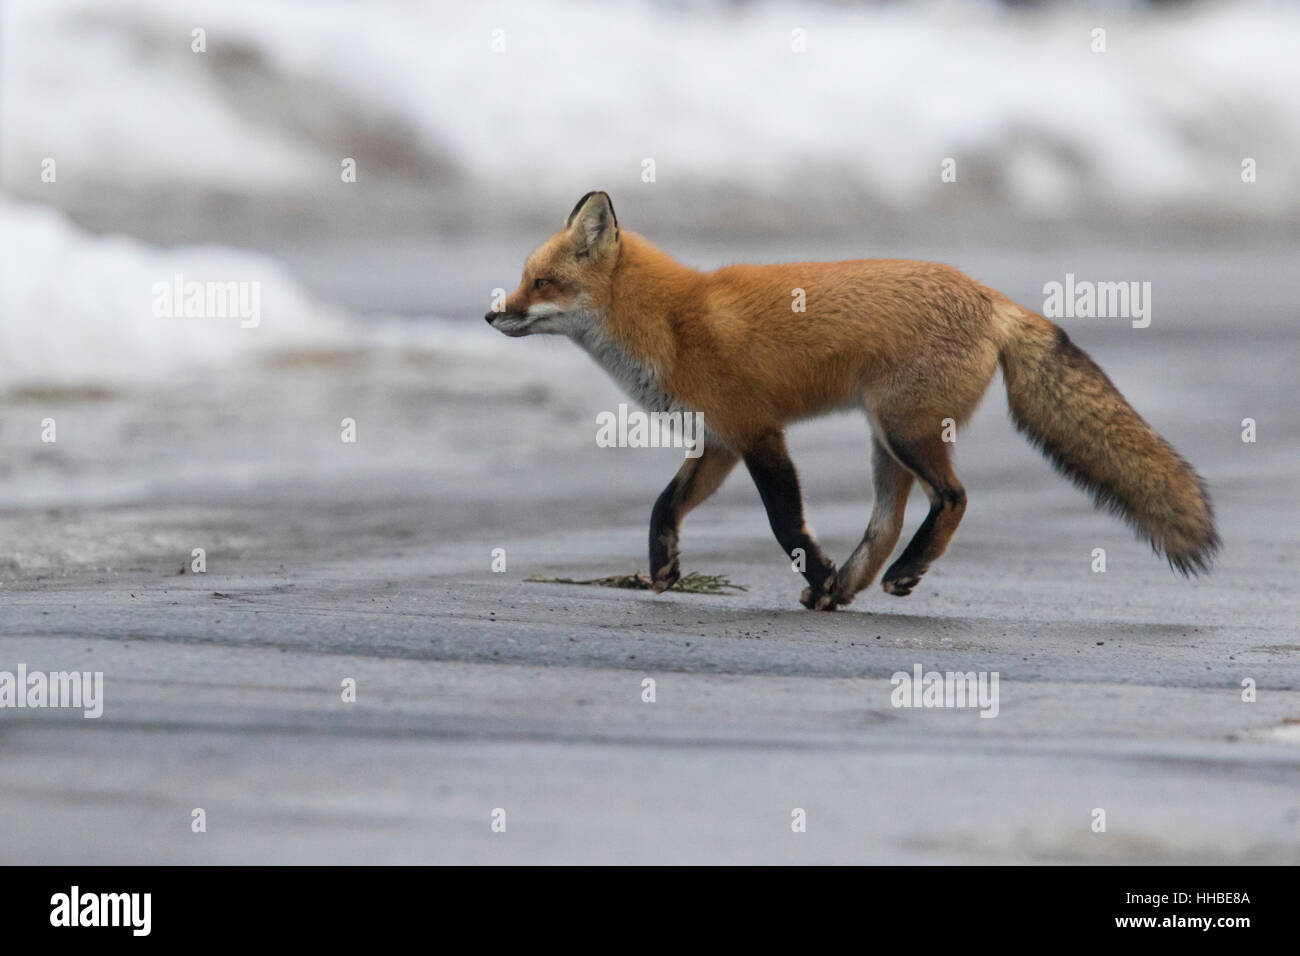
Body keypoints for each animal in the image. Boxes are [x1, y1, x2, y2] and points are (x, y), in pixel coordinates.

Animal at [486, 191, 1218, 610]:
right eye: (523, 279)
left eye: (542, 283)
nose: (492, 314)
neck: (670, 322)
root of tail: (991, 296)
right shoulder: (719, 442)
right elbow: (664, 506)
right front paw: (663, 570)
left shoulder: (757, 433)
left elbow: (786, 524)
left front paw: (814, 570)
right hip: (885, 441)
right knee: (889, 520)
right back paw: (851, 585)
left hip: (905, 430)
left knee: (953, 499)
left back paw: (892, 575)